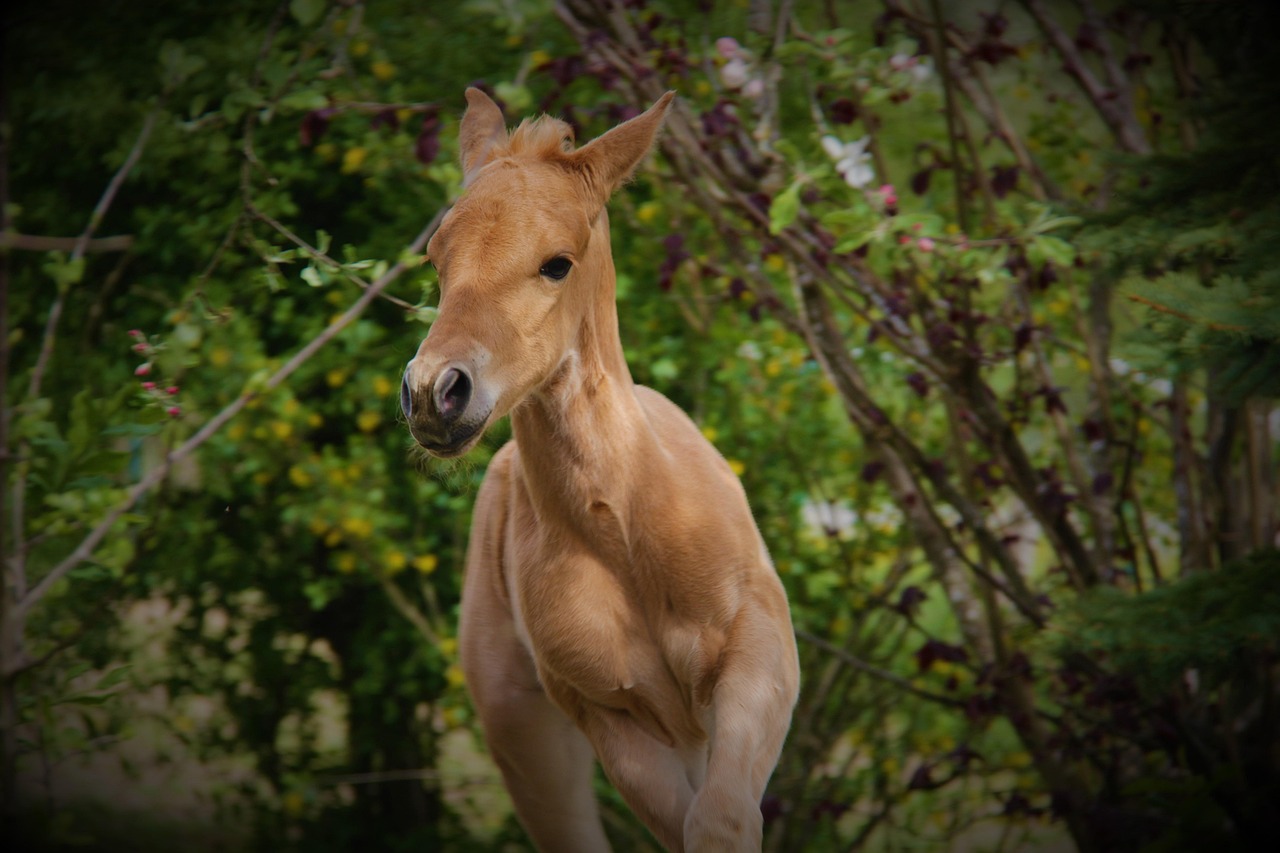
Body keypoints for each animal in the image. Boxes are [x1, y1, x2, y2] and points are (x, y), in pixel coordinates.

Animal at [400, 88, 799, 852]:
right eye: (436, 258)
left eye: (557, 262)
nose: (436, 393)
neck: (629, 533)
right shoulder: (611, 716)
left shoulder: (759, 659)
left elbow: (722, 820)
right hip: (531, 747)